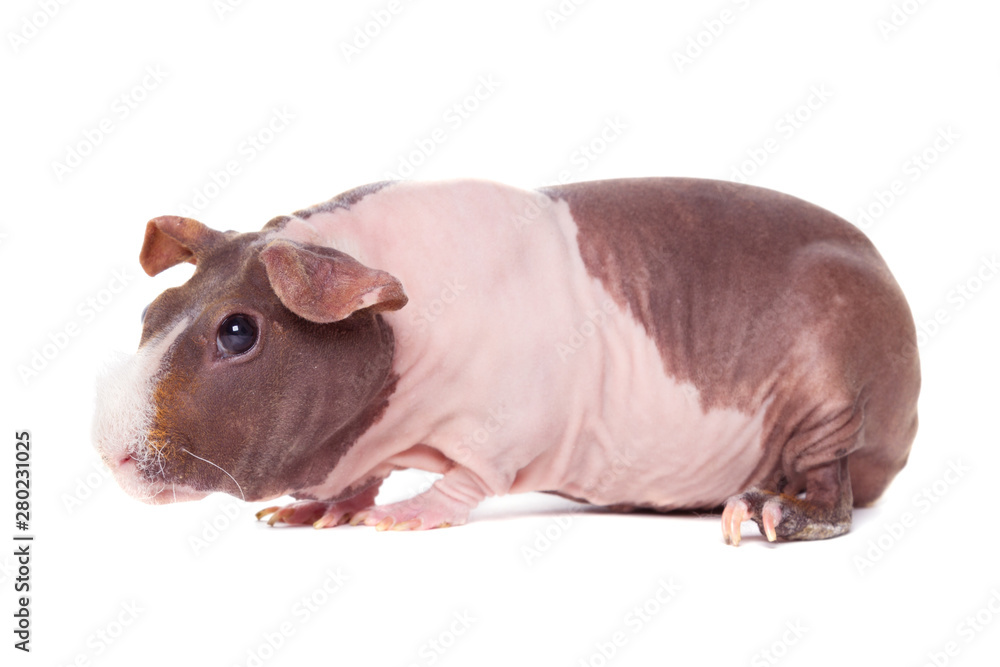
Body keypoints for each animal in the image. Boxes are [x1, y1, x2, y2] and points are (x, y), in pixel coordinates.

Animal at [92, 178, 920, 545]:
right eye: (154, 315)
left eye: (238, 331)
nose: (108, 451)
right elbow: (363, 472)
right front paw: (307, 513)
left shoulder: (504, 428)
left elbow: (468, 479)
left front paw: (396, 518)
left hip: (831, 399)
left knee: (832, 490)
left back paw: (765, 510)